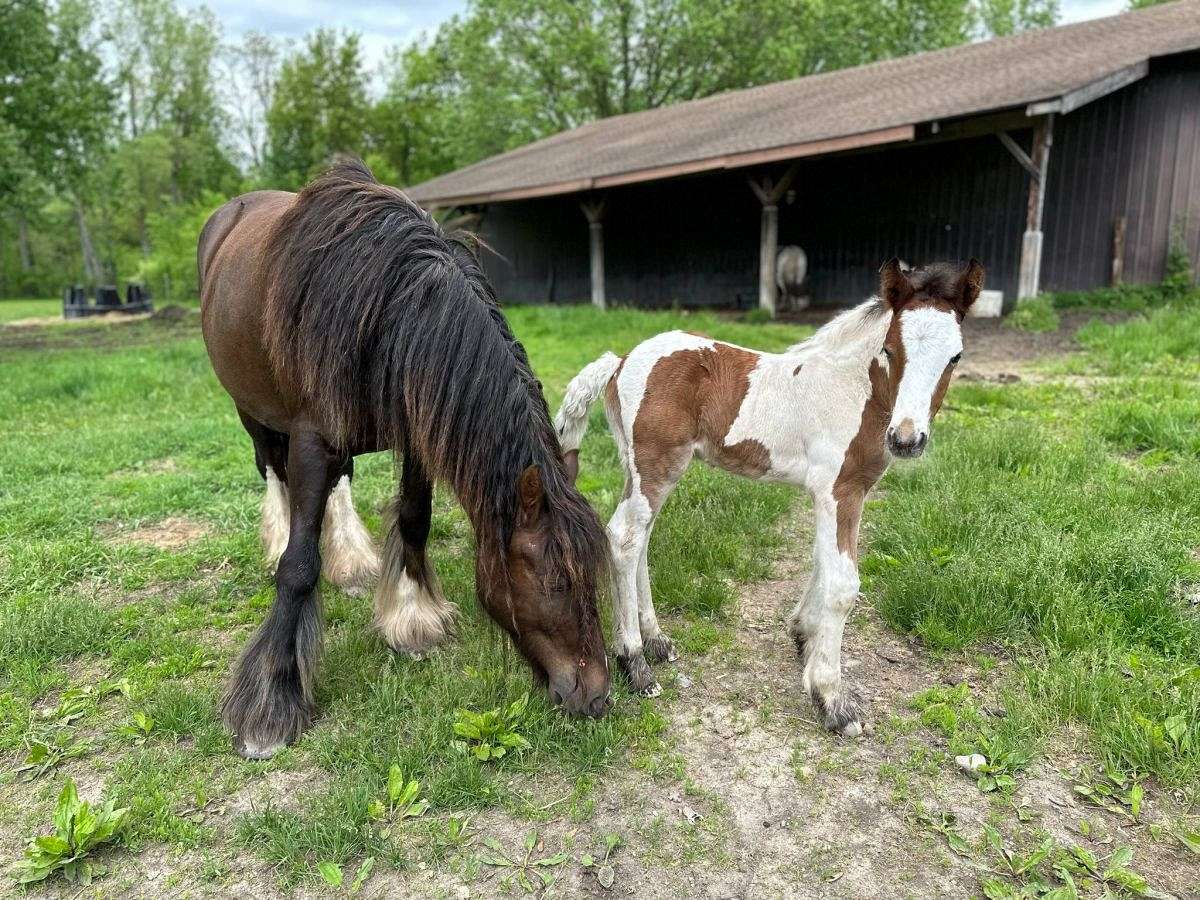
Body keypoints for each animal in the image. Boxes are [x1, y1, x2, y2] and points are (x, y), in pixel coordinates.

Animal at [197, 158, 612, 759]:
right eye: (556, 583)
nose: (597, 696)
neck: (386, 307)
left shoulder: (416, 433)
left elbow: (415, 520)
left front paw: (412, 617)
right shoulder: (311, 440)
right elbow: (298, 568)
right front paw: (271, 701)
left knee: (340, 484)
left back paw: (351, 560)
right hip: (249, 407)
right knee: (271, 469)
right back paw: (278, 540)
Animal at [553, 258, 983, 736]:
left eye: (955, 357)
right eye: (890, 349)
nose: (907, 439)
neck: (854, 393)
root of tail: (622, 360)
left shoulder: (837, 494)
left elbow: (820, 562)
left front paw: (803, 637)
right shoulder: (839, 491)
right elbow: (842, 585)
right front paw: (833, 700)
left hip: (643, 469)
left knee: (637, 538)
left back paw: (656, 642)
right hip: (656, 465)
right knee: (625, 537)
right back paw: (635, 665)